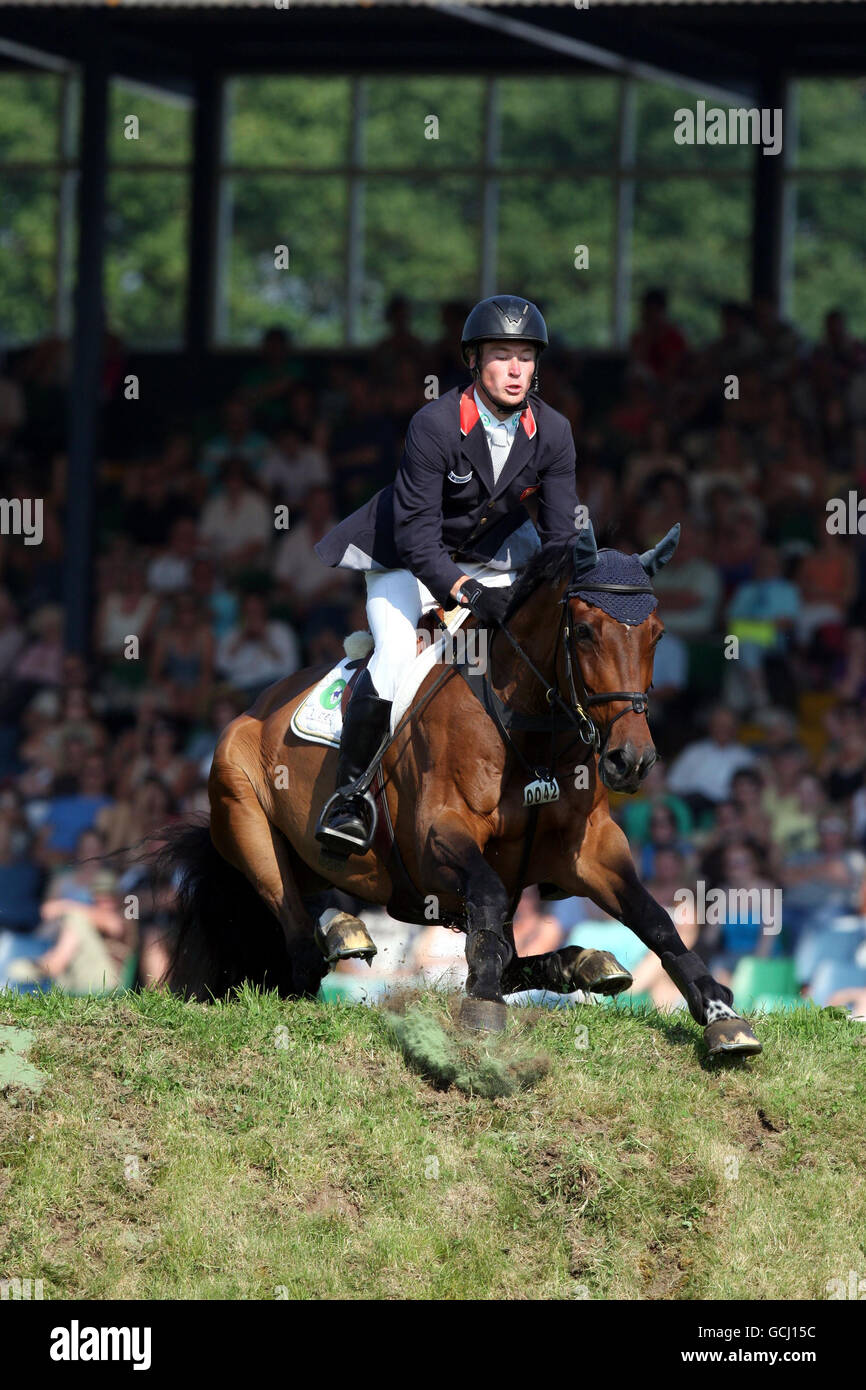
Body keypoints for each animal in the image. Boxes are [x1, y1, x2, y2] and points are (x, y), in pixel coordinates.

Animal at [161, 521, 761, 1060]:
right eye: (586, 631)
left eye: (657, 634)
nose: (631, 761)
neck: (531, 729)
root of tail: (255, 706)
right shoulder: (436, 840)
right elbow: (489, 900)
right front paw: (483, 1007)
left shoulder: (589, 849)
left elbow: (654, 918)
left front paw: (721, 1015)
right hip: (244, 815)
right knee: (297, 937)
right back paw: (342, 930)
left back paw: (585, 963)